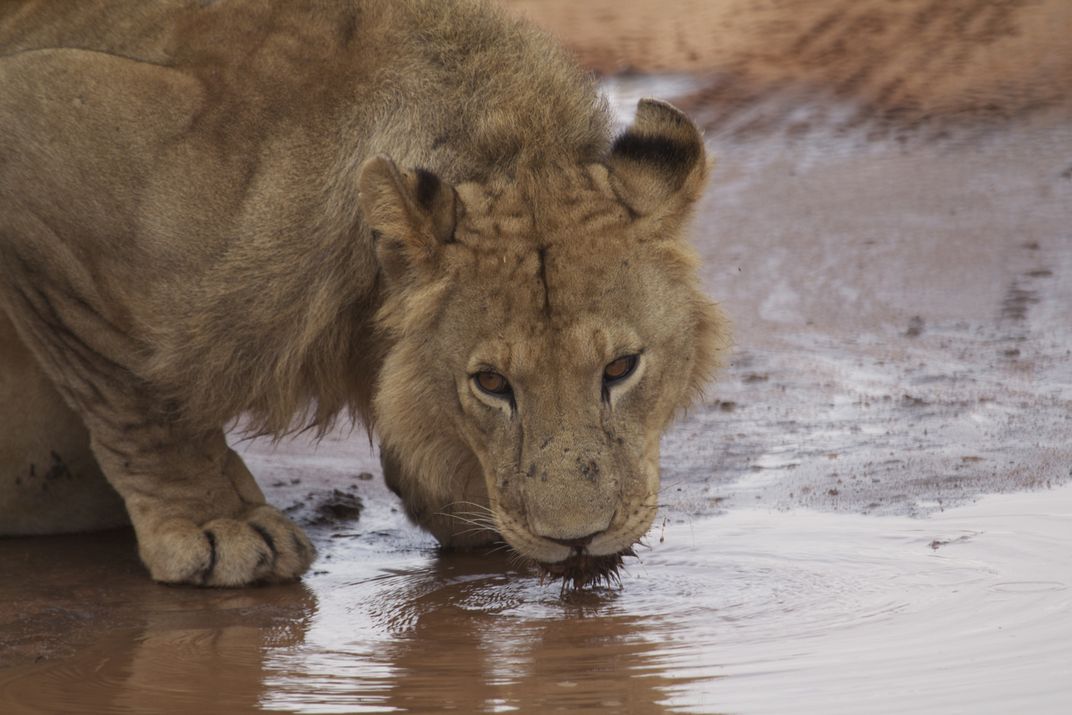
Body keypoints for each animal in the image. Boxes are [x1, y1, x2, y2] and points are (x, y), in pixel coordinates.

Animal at [0, 0, 728, 587]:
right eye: (491, 383)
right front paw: (217, 525)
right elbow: (139, 397)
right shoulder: (36, 129)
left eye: (620, 368)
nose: (576, 539)